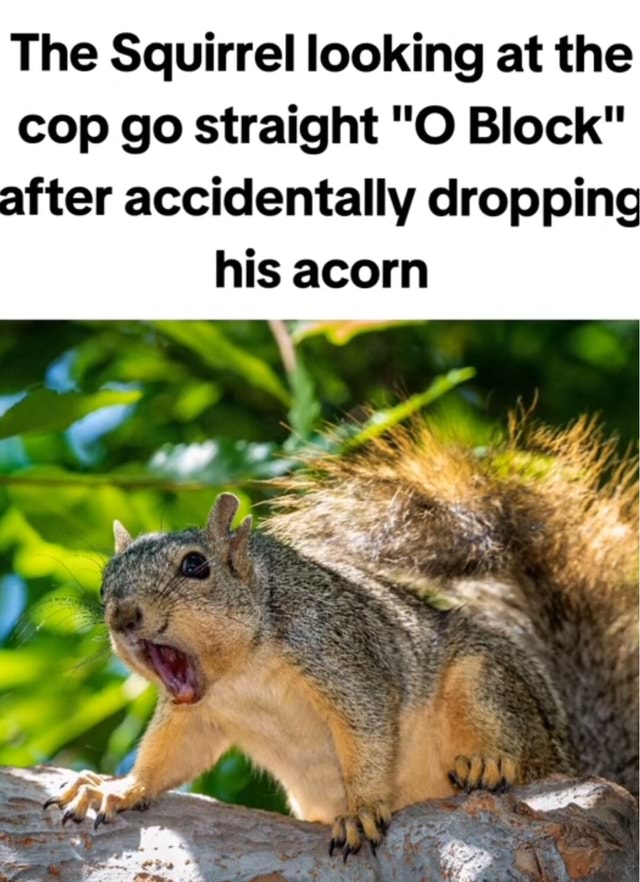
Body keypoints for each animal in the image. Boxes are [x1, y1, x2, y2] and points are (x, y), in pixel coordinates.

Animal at [44, 415, 638, 859]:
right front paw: (114, 788)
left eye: (195, 566)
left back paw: (491, 762)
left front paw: (362, 810)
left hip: (487, 681)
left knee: (524, 751)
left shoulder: (341, 653)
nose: (121, 616)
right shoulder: (199, 713)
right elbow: (167, 756)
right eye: (105, 582)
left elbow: (368, 731)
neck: (240, 671)